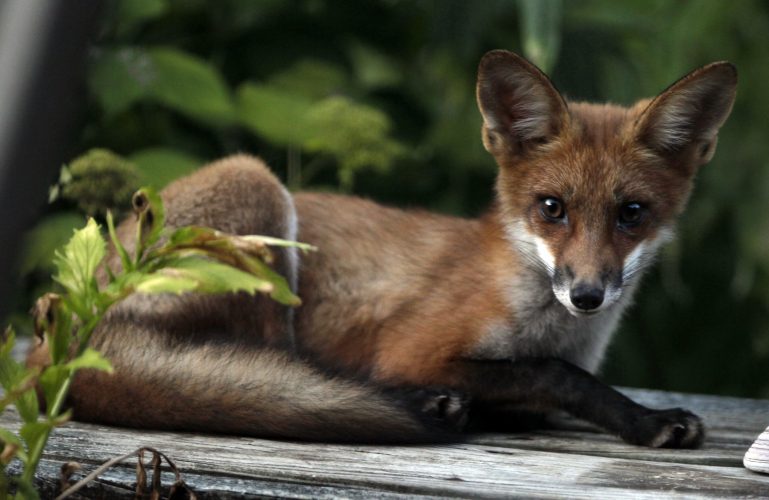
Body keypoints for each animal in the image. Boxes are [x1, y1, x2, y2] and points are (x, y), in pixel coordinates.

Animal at [28, 50, 737, 446]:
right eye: (552, 208)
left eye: (631, 214)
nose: (587, 295)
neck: (552, 325)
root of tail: (62, 329)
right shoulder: (414, 349)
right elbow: (552, 375)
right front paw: (643, 418)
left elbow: (546, 381)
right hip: (256, 194)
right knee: (273, 371)